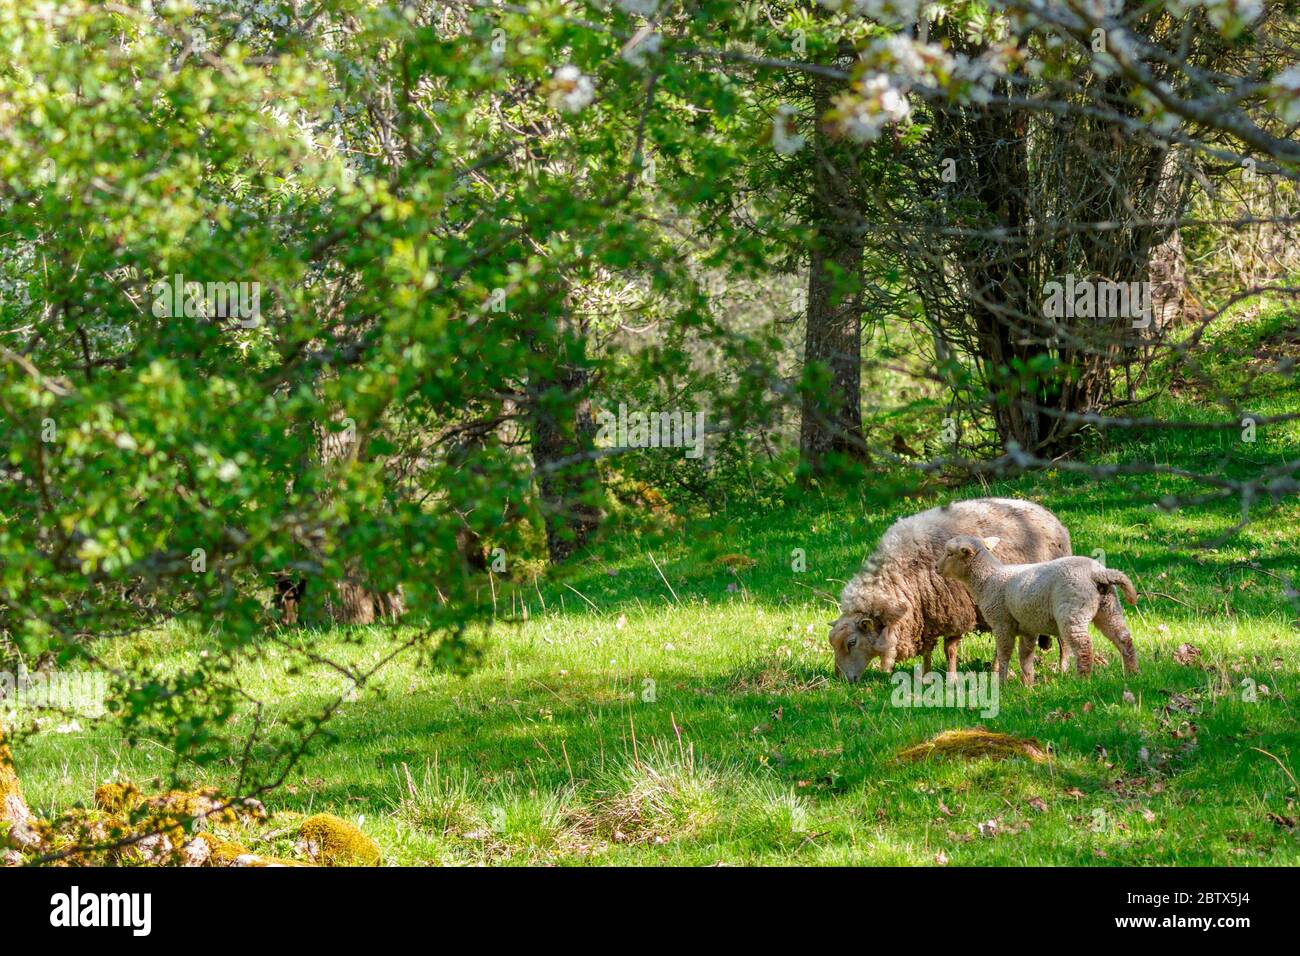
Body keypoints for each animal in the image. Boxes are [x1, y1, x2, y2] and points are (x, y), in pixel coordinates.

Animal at [829, 497, 1072, 681]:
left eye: (852, 642)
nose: (841, 680)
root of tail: (1049, 516)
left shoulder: (956, 611)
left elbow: (950, 649)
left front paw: (952, 678)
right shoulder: (926, 614)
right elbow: (928, 650)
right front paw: (926, 676)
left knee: (1061, 637)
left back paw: (1062, 668)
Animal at [936, 535, 1139, 686]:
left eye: (950, 553)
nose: (936, 567)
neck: (988, 579)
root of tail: (1097, 572)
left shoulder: (1002, 623)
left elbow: (1004, 654)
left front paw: (1002, 683)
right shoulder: (1028, 628)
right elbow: (1025, 657)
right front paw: (1028, 684)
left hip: (1073, 610)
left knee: (1083, 647)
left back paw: (1083, 680)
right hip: (1109, 607)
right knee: (1124, 639)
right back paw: (1132, 674)